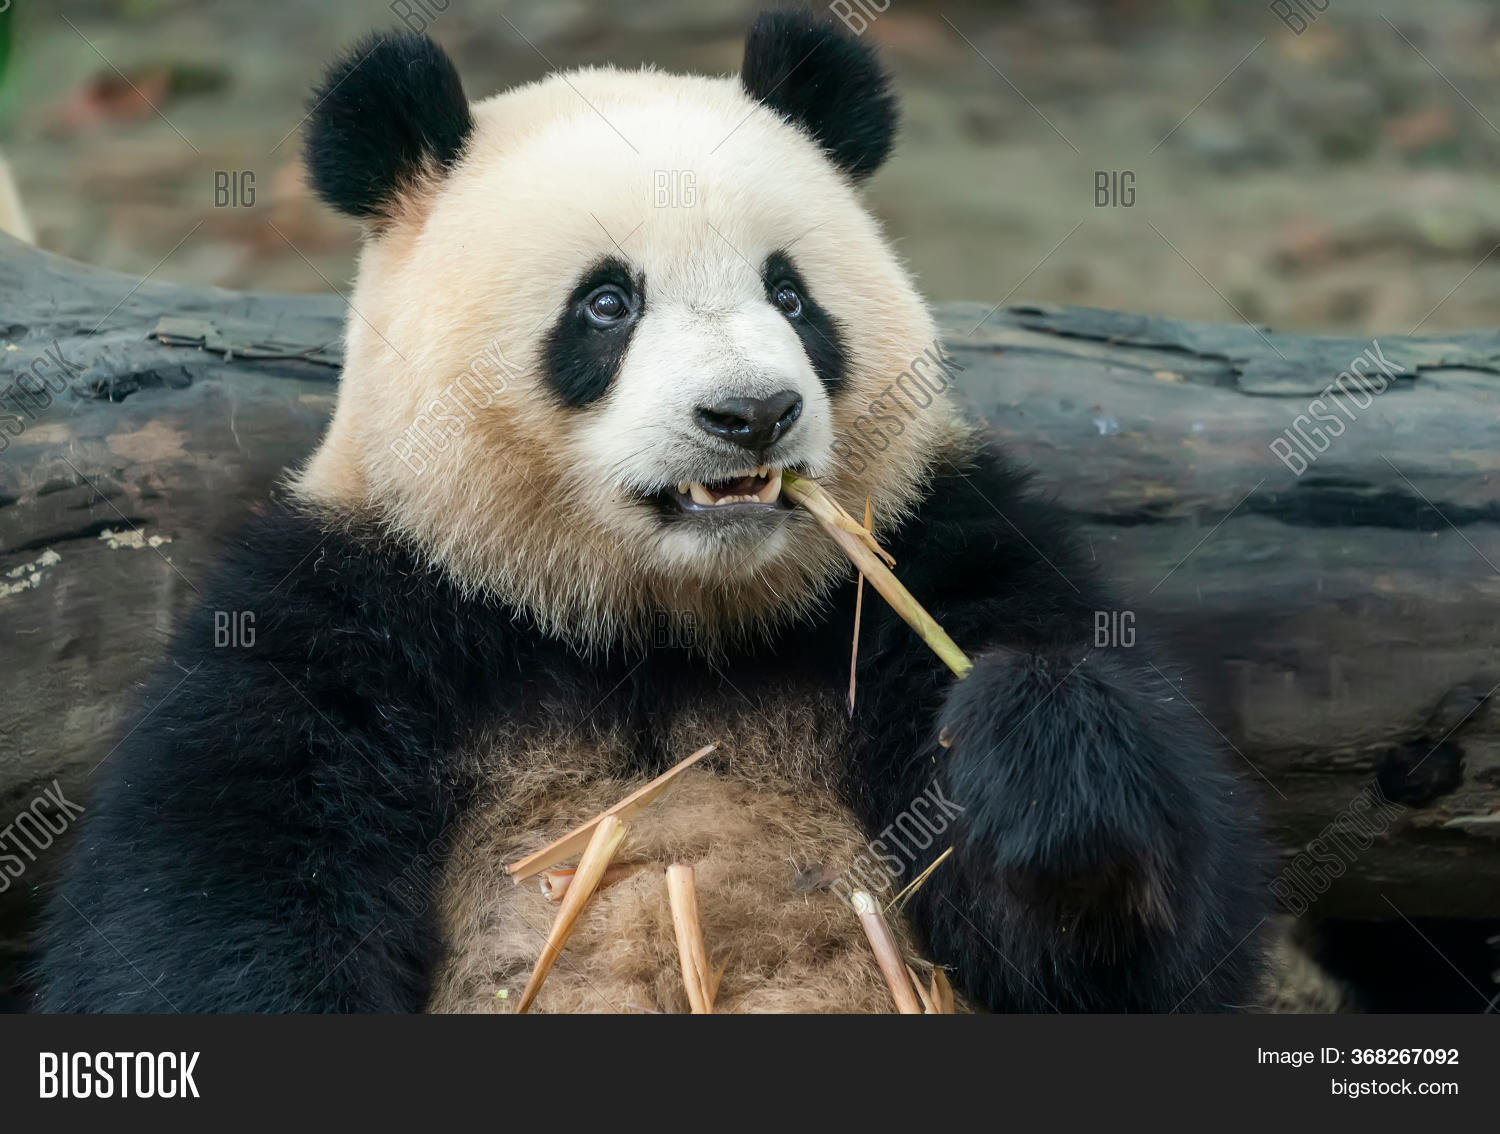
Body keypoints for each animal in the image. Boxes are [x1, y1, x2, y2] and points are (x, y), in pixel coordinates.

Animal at [34, 12, 1268, 1013]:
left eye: (790, 293)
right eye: (606, 303)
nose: (752, 414)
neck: (660, 626)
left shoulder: (939, 550)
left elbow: (1139, 951)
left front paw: (1041, 752)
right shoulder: (354, 612)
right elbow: (204, 902)